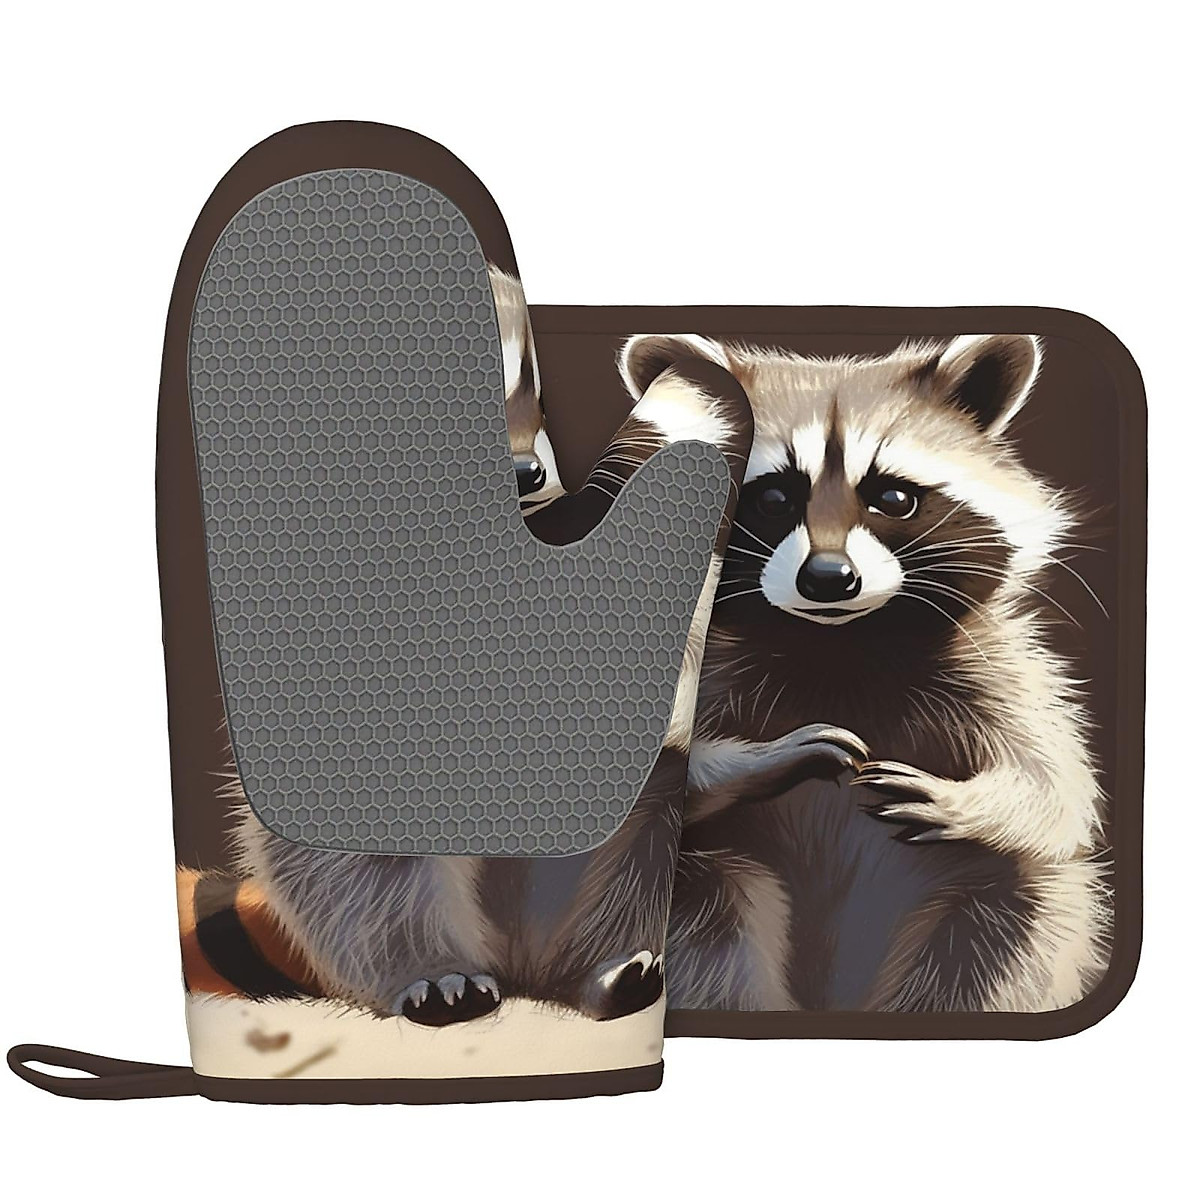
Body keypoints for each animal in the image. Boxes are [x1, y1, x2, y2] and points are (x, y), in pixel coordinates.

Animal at [621, 332, 1109, 1013]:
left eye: (893, 497)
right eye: (773, 498)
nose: (828, 579)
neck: (836, 645)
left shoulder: (1001, 672)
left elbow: (1055, 790)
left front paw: (967, 804)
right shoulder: (699, 659)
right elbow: (649, 783)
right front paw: (761, 758)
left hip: (1003, 926)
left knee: (1008, 921)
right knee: (712, 918)